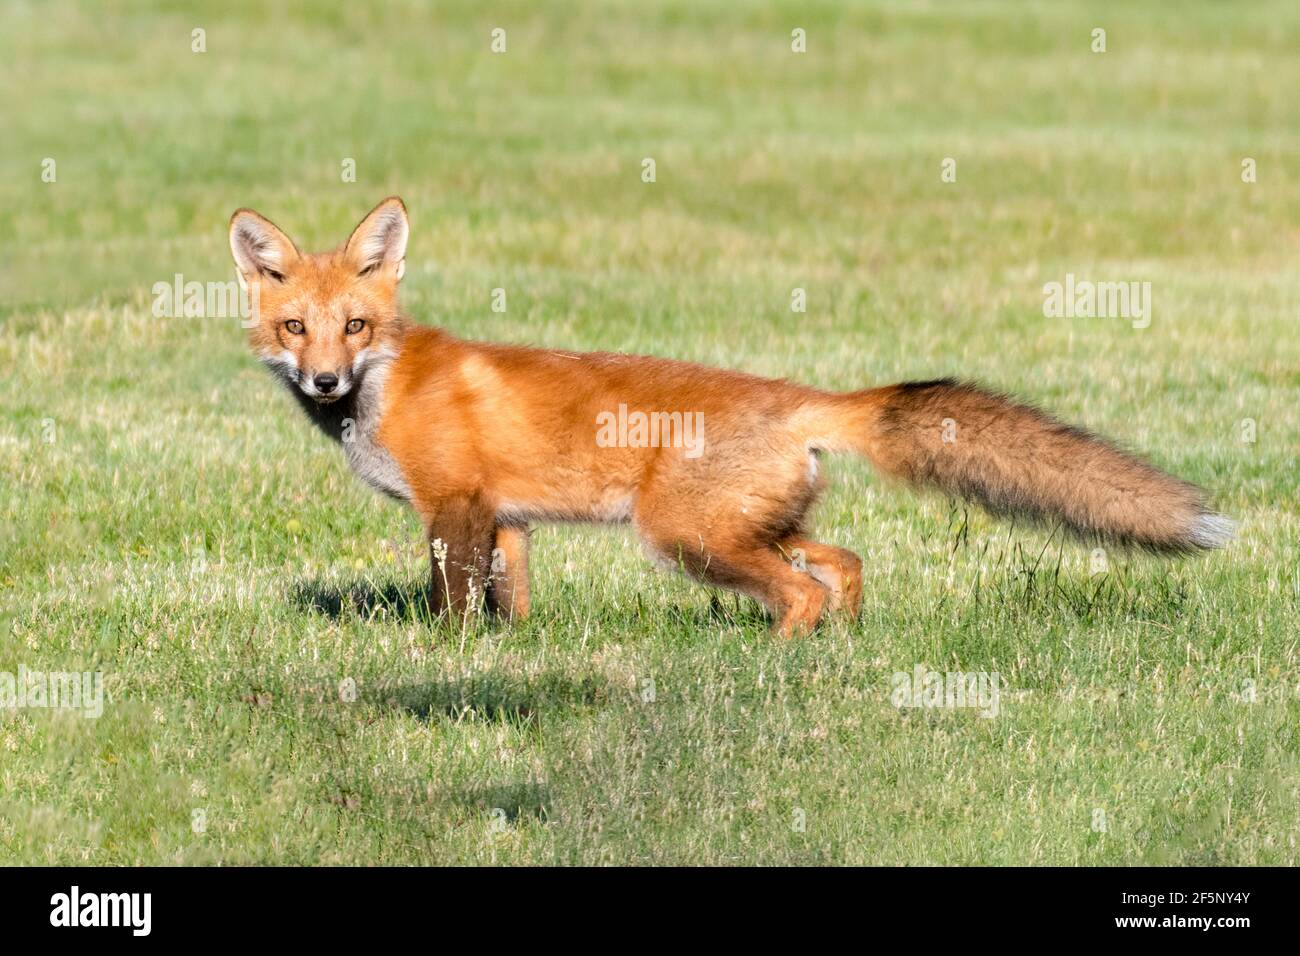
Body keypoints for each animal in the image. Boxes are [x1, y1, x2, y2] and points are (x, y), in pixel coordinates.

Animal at [229, 197, 1232, 636]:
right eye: (296, 328)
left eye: (356, 327)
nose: (326, 382)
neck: (389, 385)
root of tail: (804, 400)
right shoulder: (506, 520)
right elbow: (513, 607)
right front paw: (508, 659)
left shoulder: (456, 509)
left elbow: (453, 609)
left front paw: (447, 662)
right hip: (751, 525)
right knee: (843, 564)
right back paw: (838, 650)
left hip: (685, 535)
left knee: (800, 590)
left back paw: (779, 660)